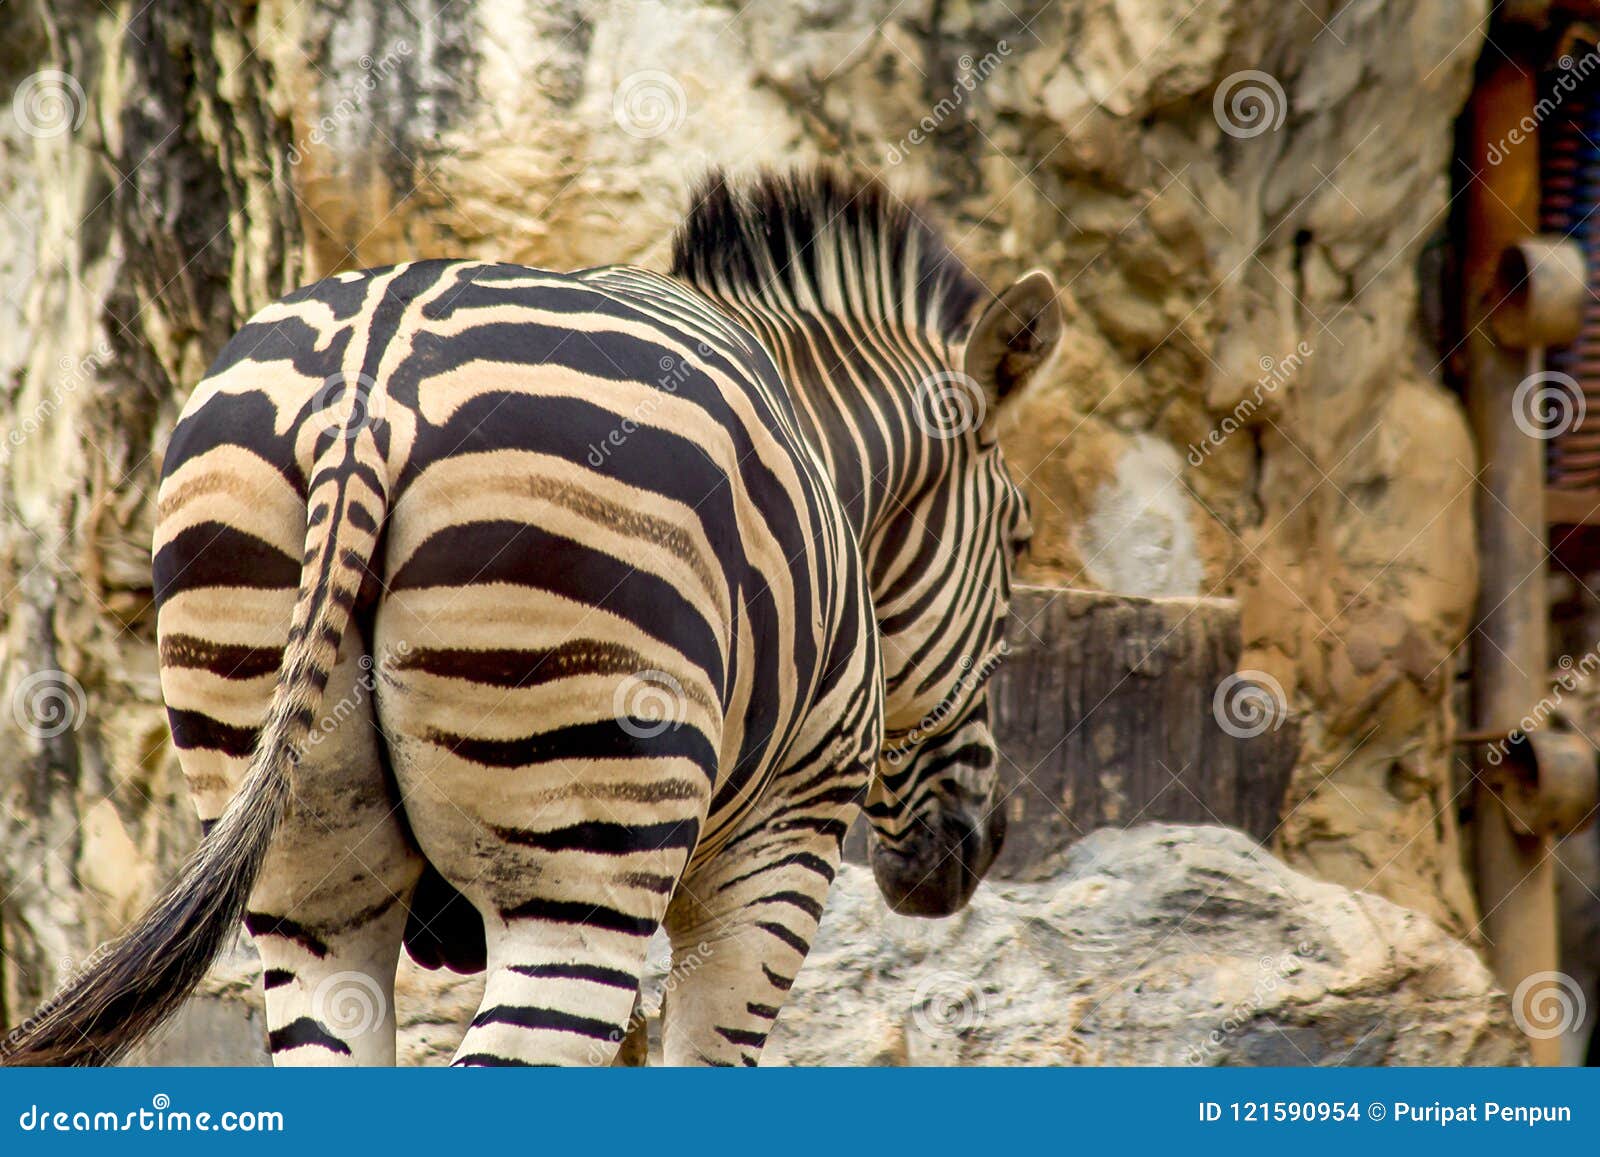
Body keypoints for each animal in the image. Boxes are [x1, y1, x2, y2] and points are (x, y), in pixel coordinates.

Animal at [1, 167, 1061, 1067]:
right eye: (1018, 538)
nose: (983, 842)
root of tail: (369, 382)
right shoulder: (772, 852)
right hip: (584, 856)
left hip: (304, 867)